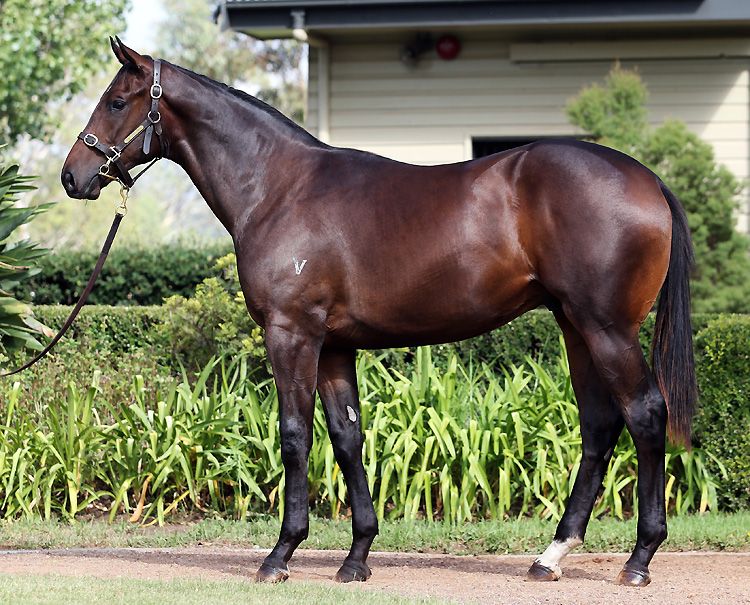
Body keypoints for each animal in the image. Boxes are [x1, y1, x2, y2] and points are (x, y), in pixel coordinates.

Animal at [62, 38, 696, 588]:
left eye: (116, 101)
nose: (73, 175)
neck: (279, 188)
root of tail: (647, 179)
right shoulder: (334, 345)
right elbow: (347, 438)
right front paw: (357, 557)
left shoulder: (291, 335)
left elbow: (294, 435)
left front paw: (280, 555)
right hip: (575, 327)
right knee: (599, 425)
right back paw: (551, 556)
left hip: (606, 329)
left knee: (644, 414)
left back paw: (639, 560)